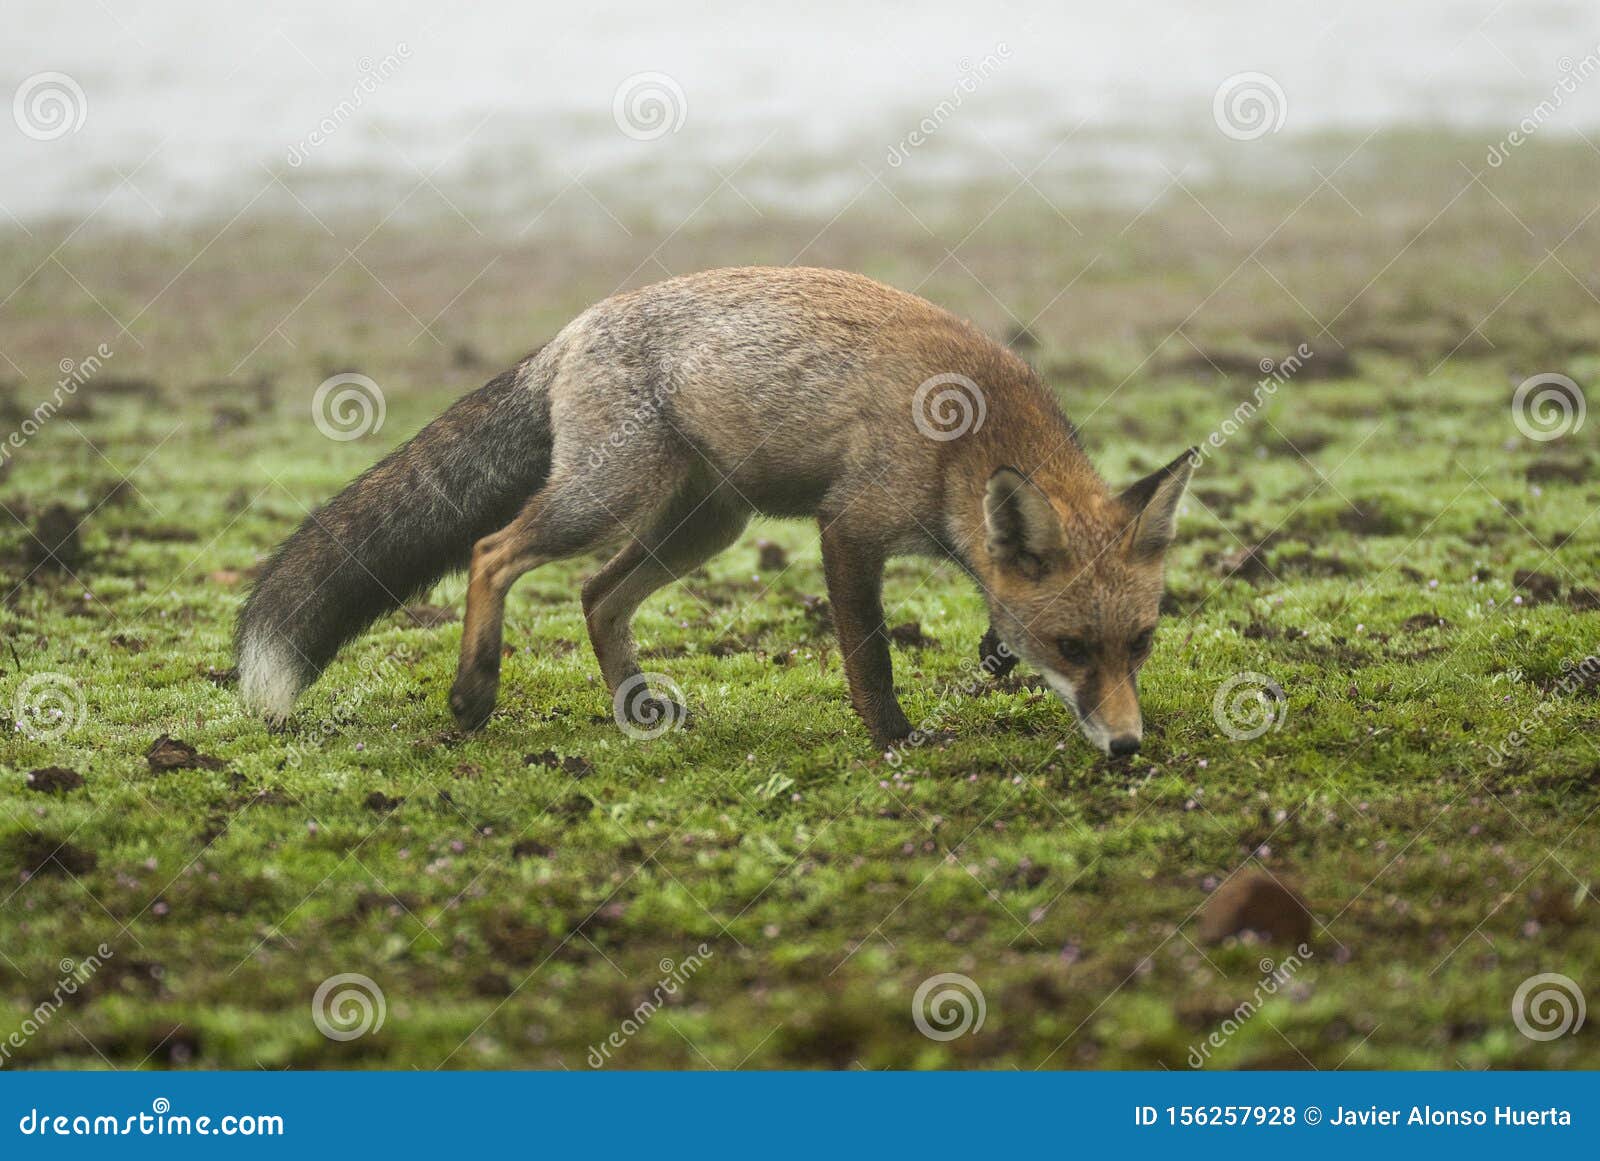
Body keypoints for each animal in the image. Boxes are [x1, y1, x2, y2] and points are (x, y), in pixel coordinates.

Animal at [236, 267, 1195, 755]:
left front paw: (995, 647)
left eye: (1140, 643)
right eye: (1073, 648)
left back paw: (633, 708)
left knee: (596, 597)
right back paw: (475, 690)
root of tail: (570, 330)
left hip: (703, 524)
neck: (969, 439)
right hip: (604, 496)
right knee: (491, 550)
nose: (1128, 747)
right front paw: (893, 739)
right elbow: (871, 659)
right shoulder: (849, 527)